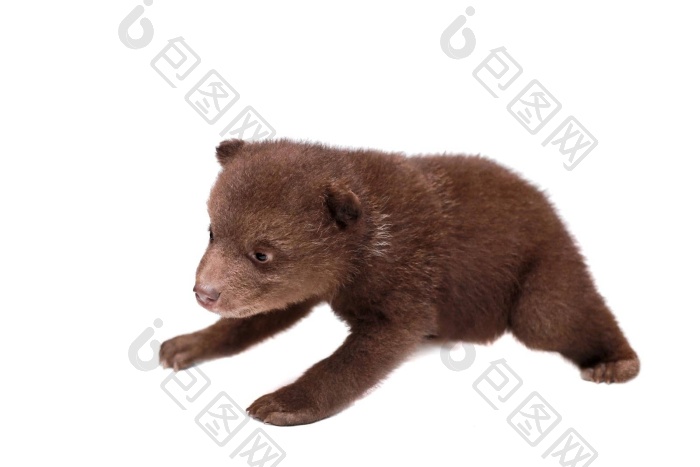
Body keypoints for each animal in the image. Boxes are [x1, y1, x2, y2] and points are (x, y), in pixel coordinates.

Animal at [159, 138, 640, 426]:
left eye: (262, 252)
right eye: (212, 231)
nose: (205, 292)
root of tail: (553, 209)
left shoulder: (408, 271)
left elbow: (373, 347)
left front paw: (283, 401)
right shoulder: (312, 282)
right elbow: (265, 314)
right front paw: (186, 344)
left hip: (538, 266)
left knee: (552, 314)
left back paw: (616, 362)